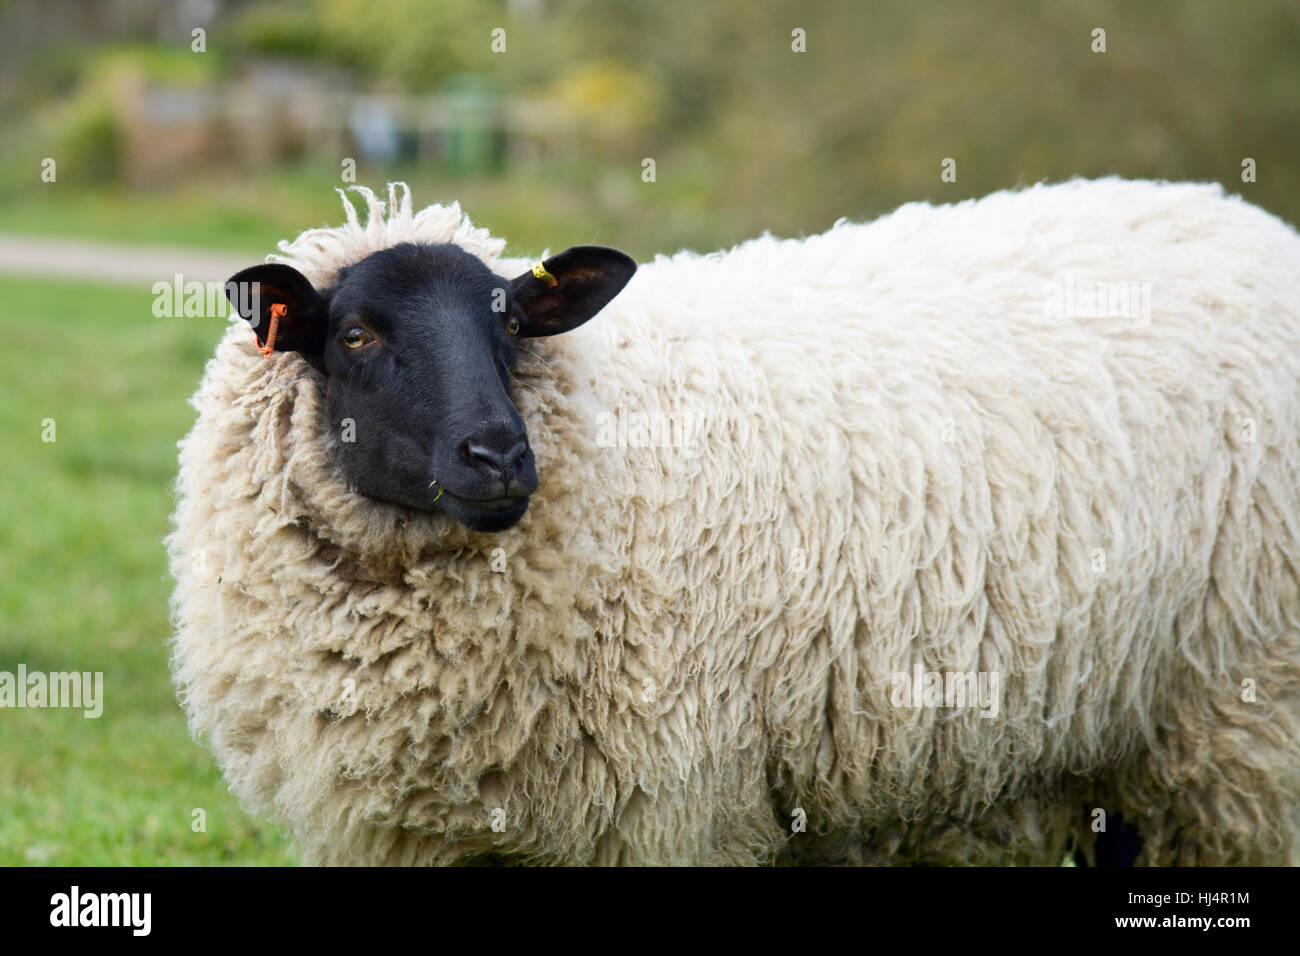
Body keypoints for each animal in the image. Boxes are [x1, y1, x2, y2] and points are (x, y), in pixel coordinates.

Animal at [168, 179, 1300, 866]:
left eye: (512, 325)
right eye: (356, 334)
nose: (500, 456)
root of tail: (1242, 218)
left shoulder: (666, 806)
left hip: (1243, 726)